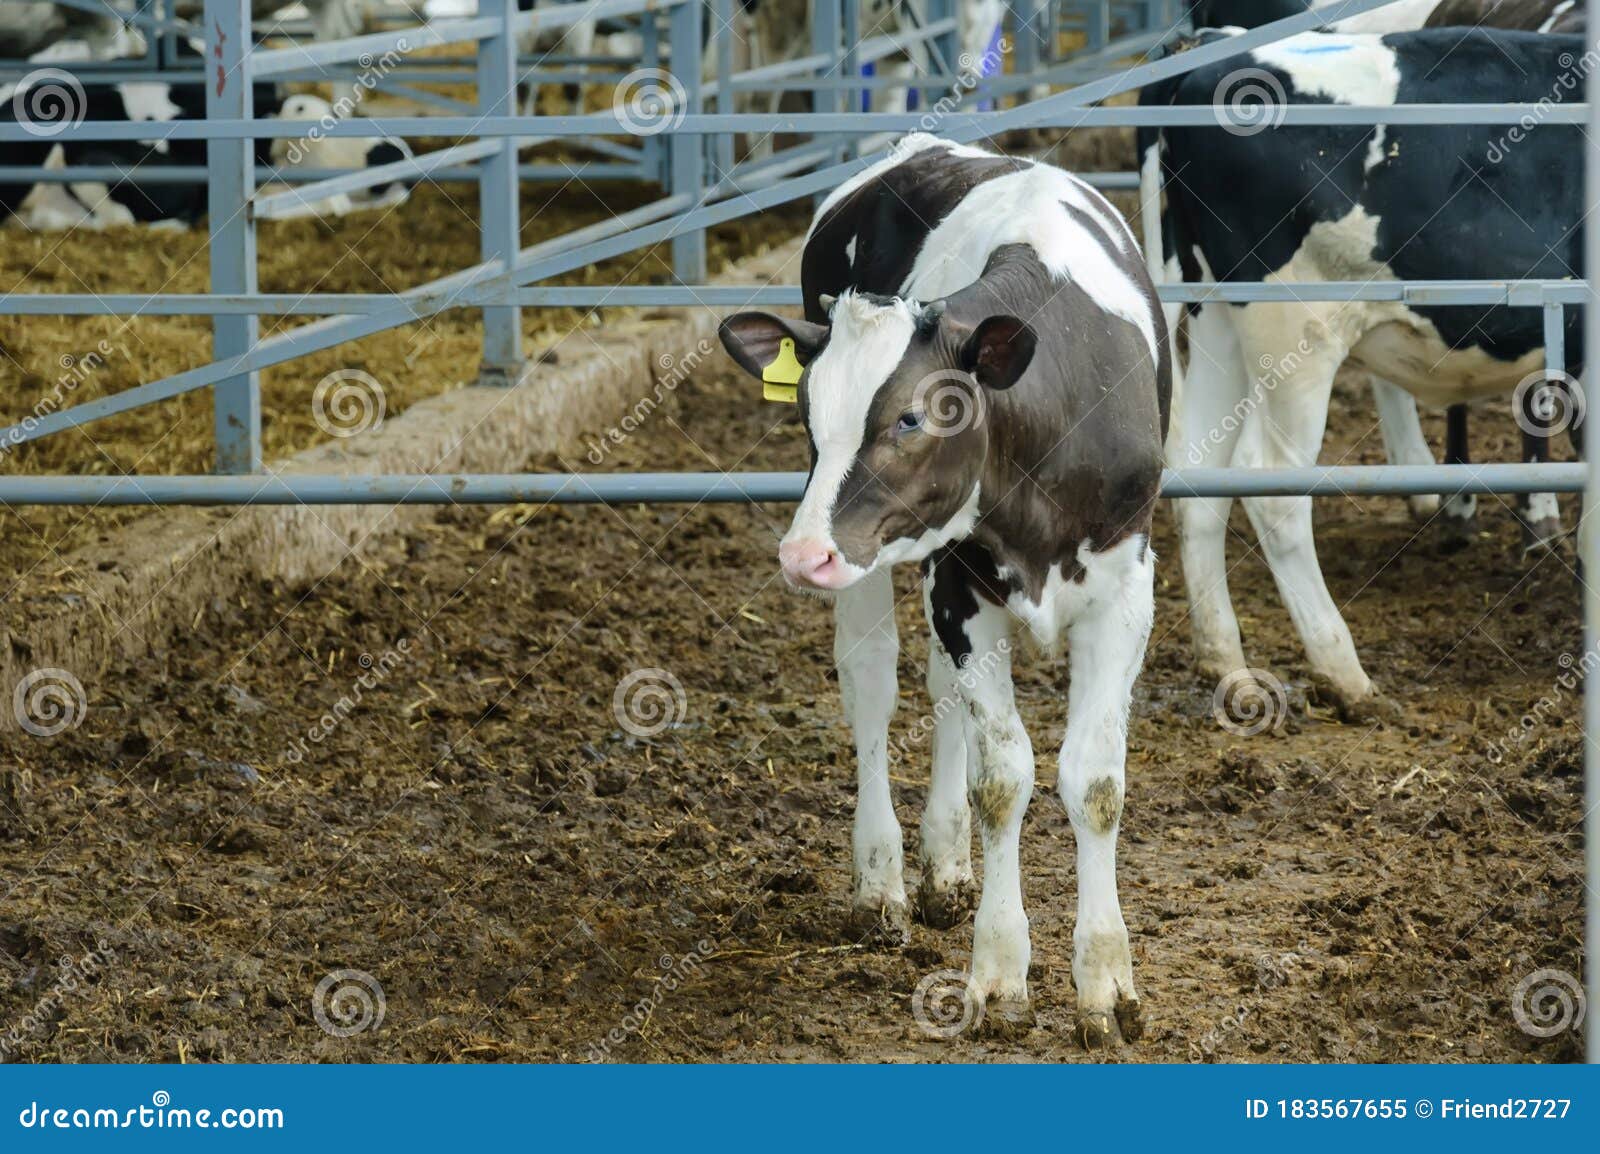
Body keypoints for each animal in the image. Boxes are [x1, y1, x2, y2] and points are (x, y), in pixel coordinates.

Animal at [717, 134, 1169, 1044]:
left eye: (915, 417)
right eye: (810, 421)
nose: (801, 554)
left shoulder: (1124, 589)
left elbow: (1095, 782)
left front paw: (1107, 981)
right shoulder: (962, 588)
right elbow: (1005, 779)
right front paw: (999, 975)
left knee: (941, 692)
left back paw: (945, 863)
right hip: (872, 564)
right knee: (875, 685)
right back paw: (883, 881)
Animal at [1142, 27, 1584, 713]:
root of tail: (1212, 55)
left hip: (1217, 316)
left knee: (1200, 475)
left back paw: (1227, 666)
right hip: (1297, 331)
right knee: (1270, 486)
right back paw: (1345, 675)